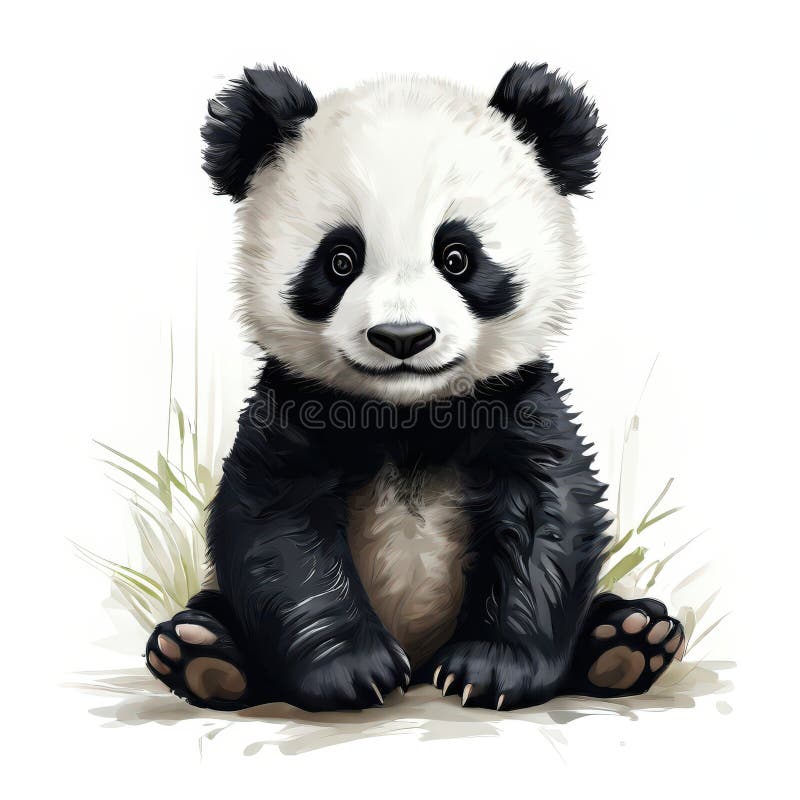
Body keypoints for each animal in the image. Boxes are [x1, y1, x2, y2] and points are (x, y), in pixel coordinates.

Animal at [145, 63, 687, 712]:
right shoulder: (295, 406)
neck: (408, 415)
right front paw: (356, 670)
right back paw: (203, 654)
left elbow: (548, 519)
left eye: (457, 256)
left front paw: (492, 670)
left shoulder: (518, 403)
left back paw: (628, 640)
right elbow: (276, 528)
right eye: (340, 259)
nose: (402, 337)